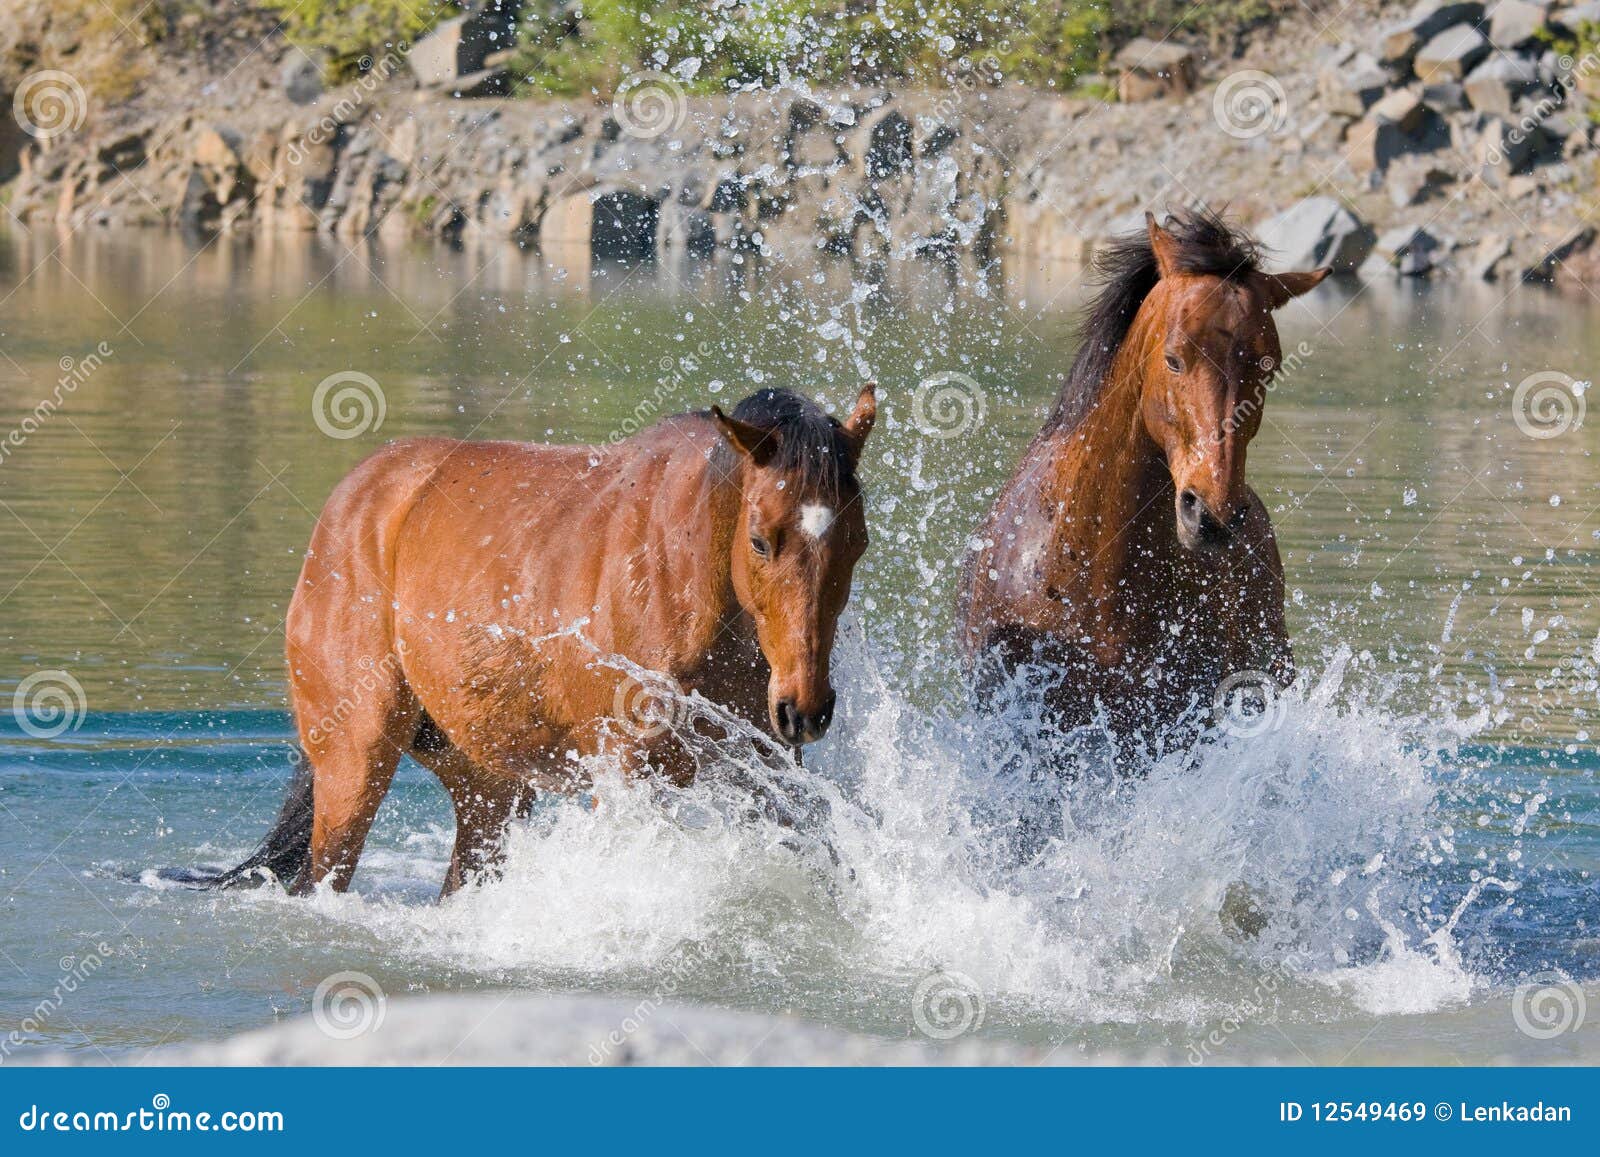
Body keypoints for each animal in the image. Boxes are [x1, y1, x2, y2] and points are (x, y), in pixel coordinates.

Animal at [196, 384, 876, 897]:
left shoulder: (768, 770)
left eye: (858, 542)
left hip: (486, 783)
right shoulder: (625, 773)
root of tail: (354, 499)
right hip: (354, 764)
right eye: (760, 540)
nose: (804, 709)